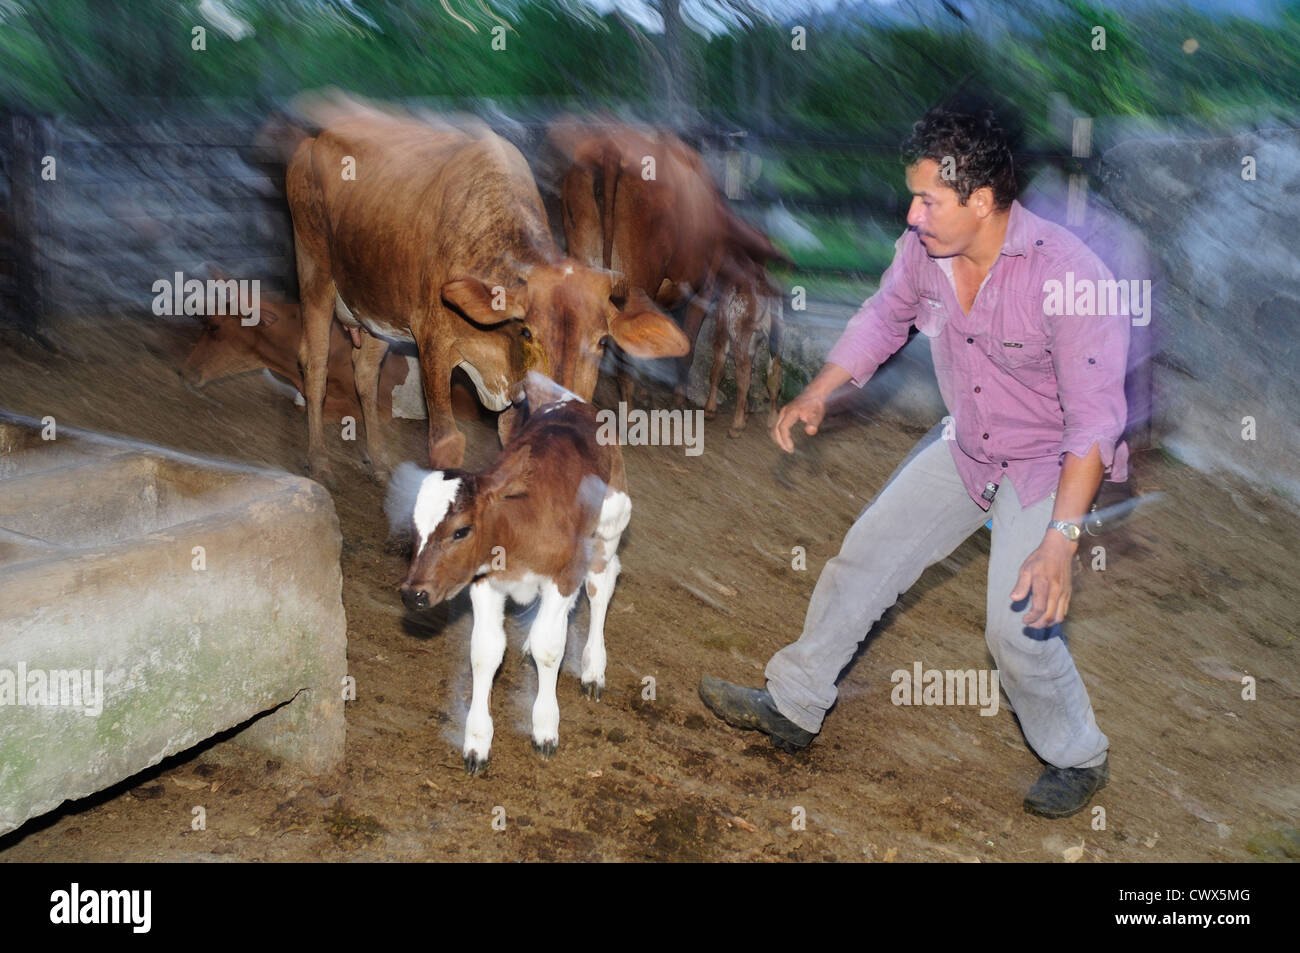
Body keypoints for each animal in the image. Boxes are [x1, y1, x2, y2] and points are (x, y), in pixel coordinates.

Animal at [284, 98, 688, 485]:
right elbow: (446, 442)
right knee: (315, 362)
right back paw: (319, 461)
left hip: (375, 308)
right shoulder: (433, 345)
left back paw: (378, 461)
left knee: (365, 373)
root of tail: (318, 136)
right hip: (314, 265)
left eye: (603, 341)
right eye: (528, 333)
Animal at [396, 372, 629, 775]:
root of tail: (576, 402)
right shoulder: (484, 583)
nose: (414, 594)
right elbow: (485, 651)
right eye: (414, 527)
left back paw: (592, 669)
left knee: (601, 585)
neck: (518, 532)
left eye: (461, 531)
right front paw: (477, 743)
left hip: (612, 523)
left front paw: (546, 728)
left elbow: (550, 648)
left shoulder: (564, 574)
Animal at [552, 118, 784, 435]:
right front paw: (679, 399)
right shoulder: (701, 291)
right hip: (639, 280)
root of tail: (610, 145)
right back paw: (628, 413)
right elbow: (686, 347)